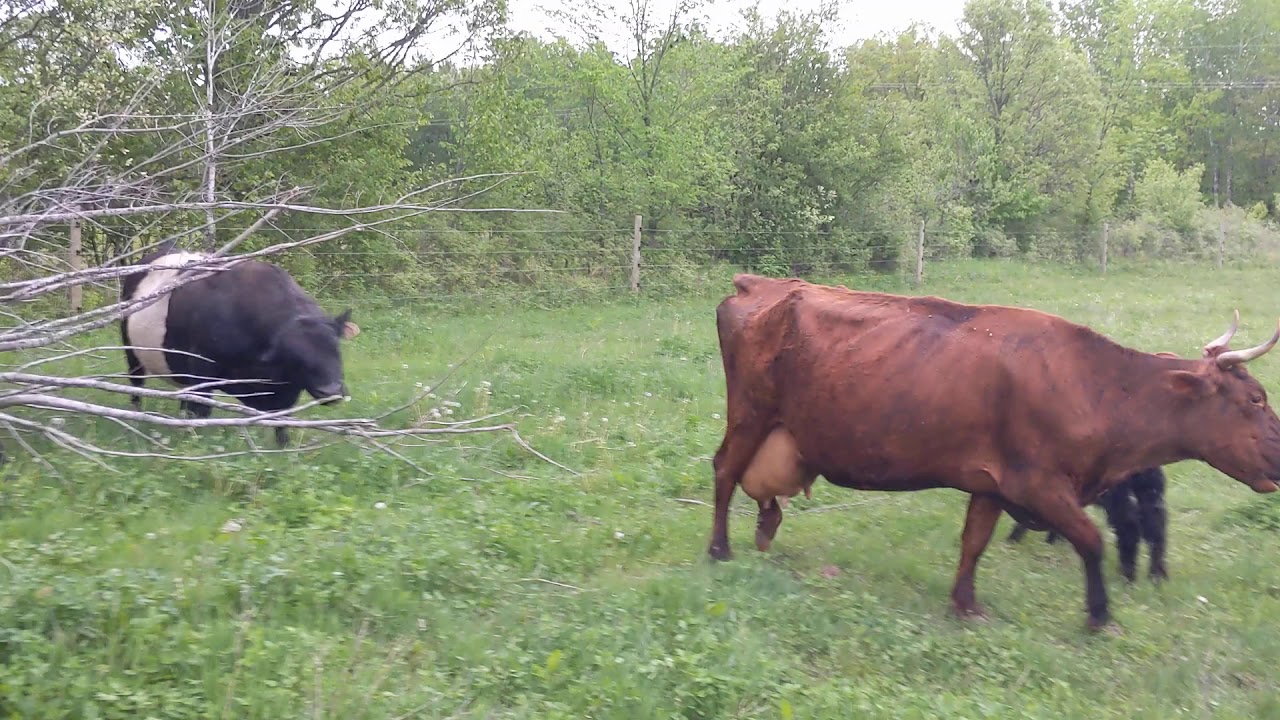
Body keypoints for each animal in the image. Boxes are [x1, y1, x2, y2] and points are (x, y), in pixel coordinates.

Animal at [119, 244, 360, 447]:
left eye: (335, 346)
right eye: (296, 357)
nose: (330, 391)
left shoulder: (287, 389)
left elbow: (282, 419)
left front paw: (284, 450)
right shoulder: (201, 369)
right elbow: (201, 411)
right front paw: (195, 443)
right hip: (131, 350)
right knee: (136, 384)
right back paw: (135, 421)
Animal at [1006, 466, 1168, 583]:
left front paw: (1012, 541)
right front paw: (1051, 542)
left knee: (1129, 528)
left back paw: (1128, 576)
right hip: (1149, 492)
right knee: (1155, 529)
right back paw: (1157, 576)